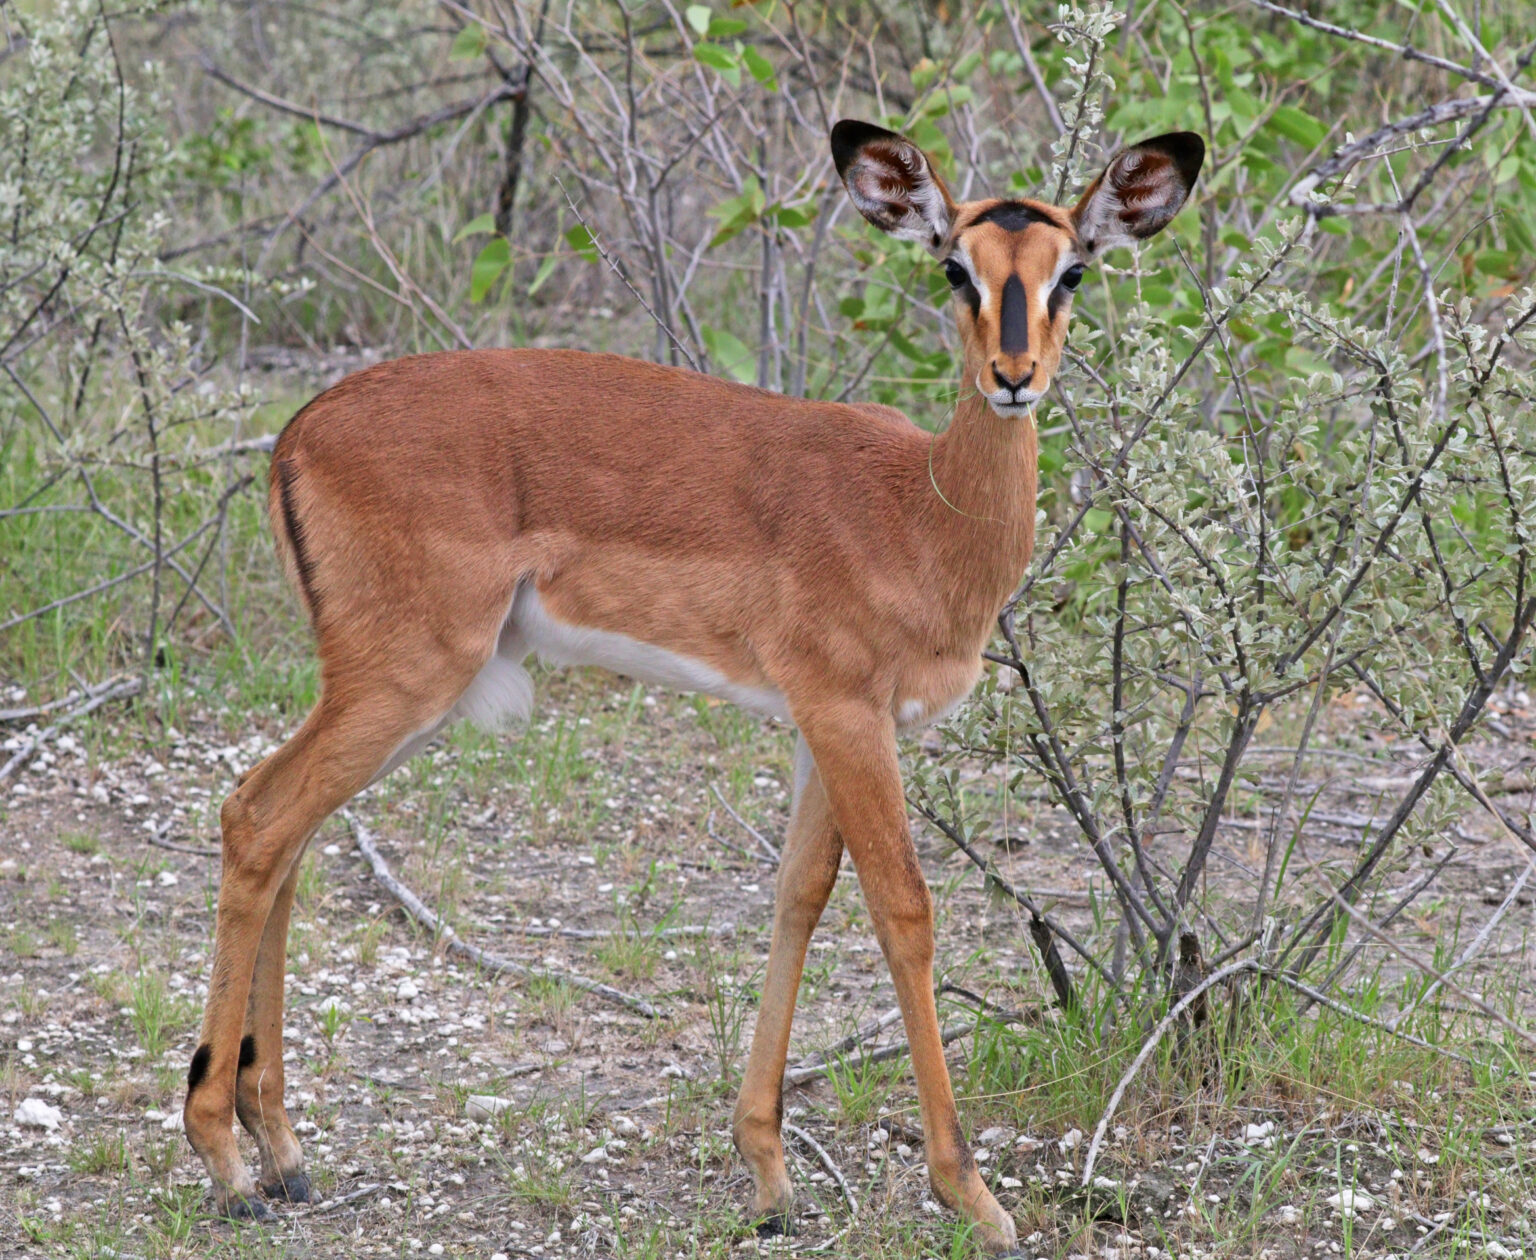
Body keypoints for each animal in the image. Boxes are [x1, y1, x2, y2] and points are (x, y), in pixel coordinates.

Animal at [184, 119, 1202, 1251]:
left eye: (1072, 270)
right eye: (954, 267)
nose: (1013, 374)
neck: (921, 511)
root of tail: (299, 429)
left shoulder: (821, 726)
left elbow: (799, 895)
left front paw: (769, 1173)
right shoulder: (850, 716)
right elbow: (903, 909)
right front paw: (971, 1195)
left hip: (395, 692)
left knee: (287, 834)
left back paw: (283, 1152)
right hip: (404, 677)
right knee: (258, 816)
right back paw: (228, 1161)